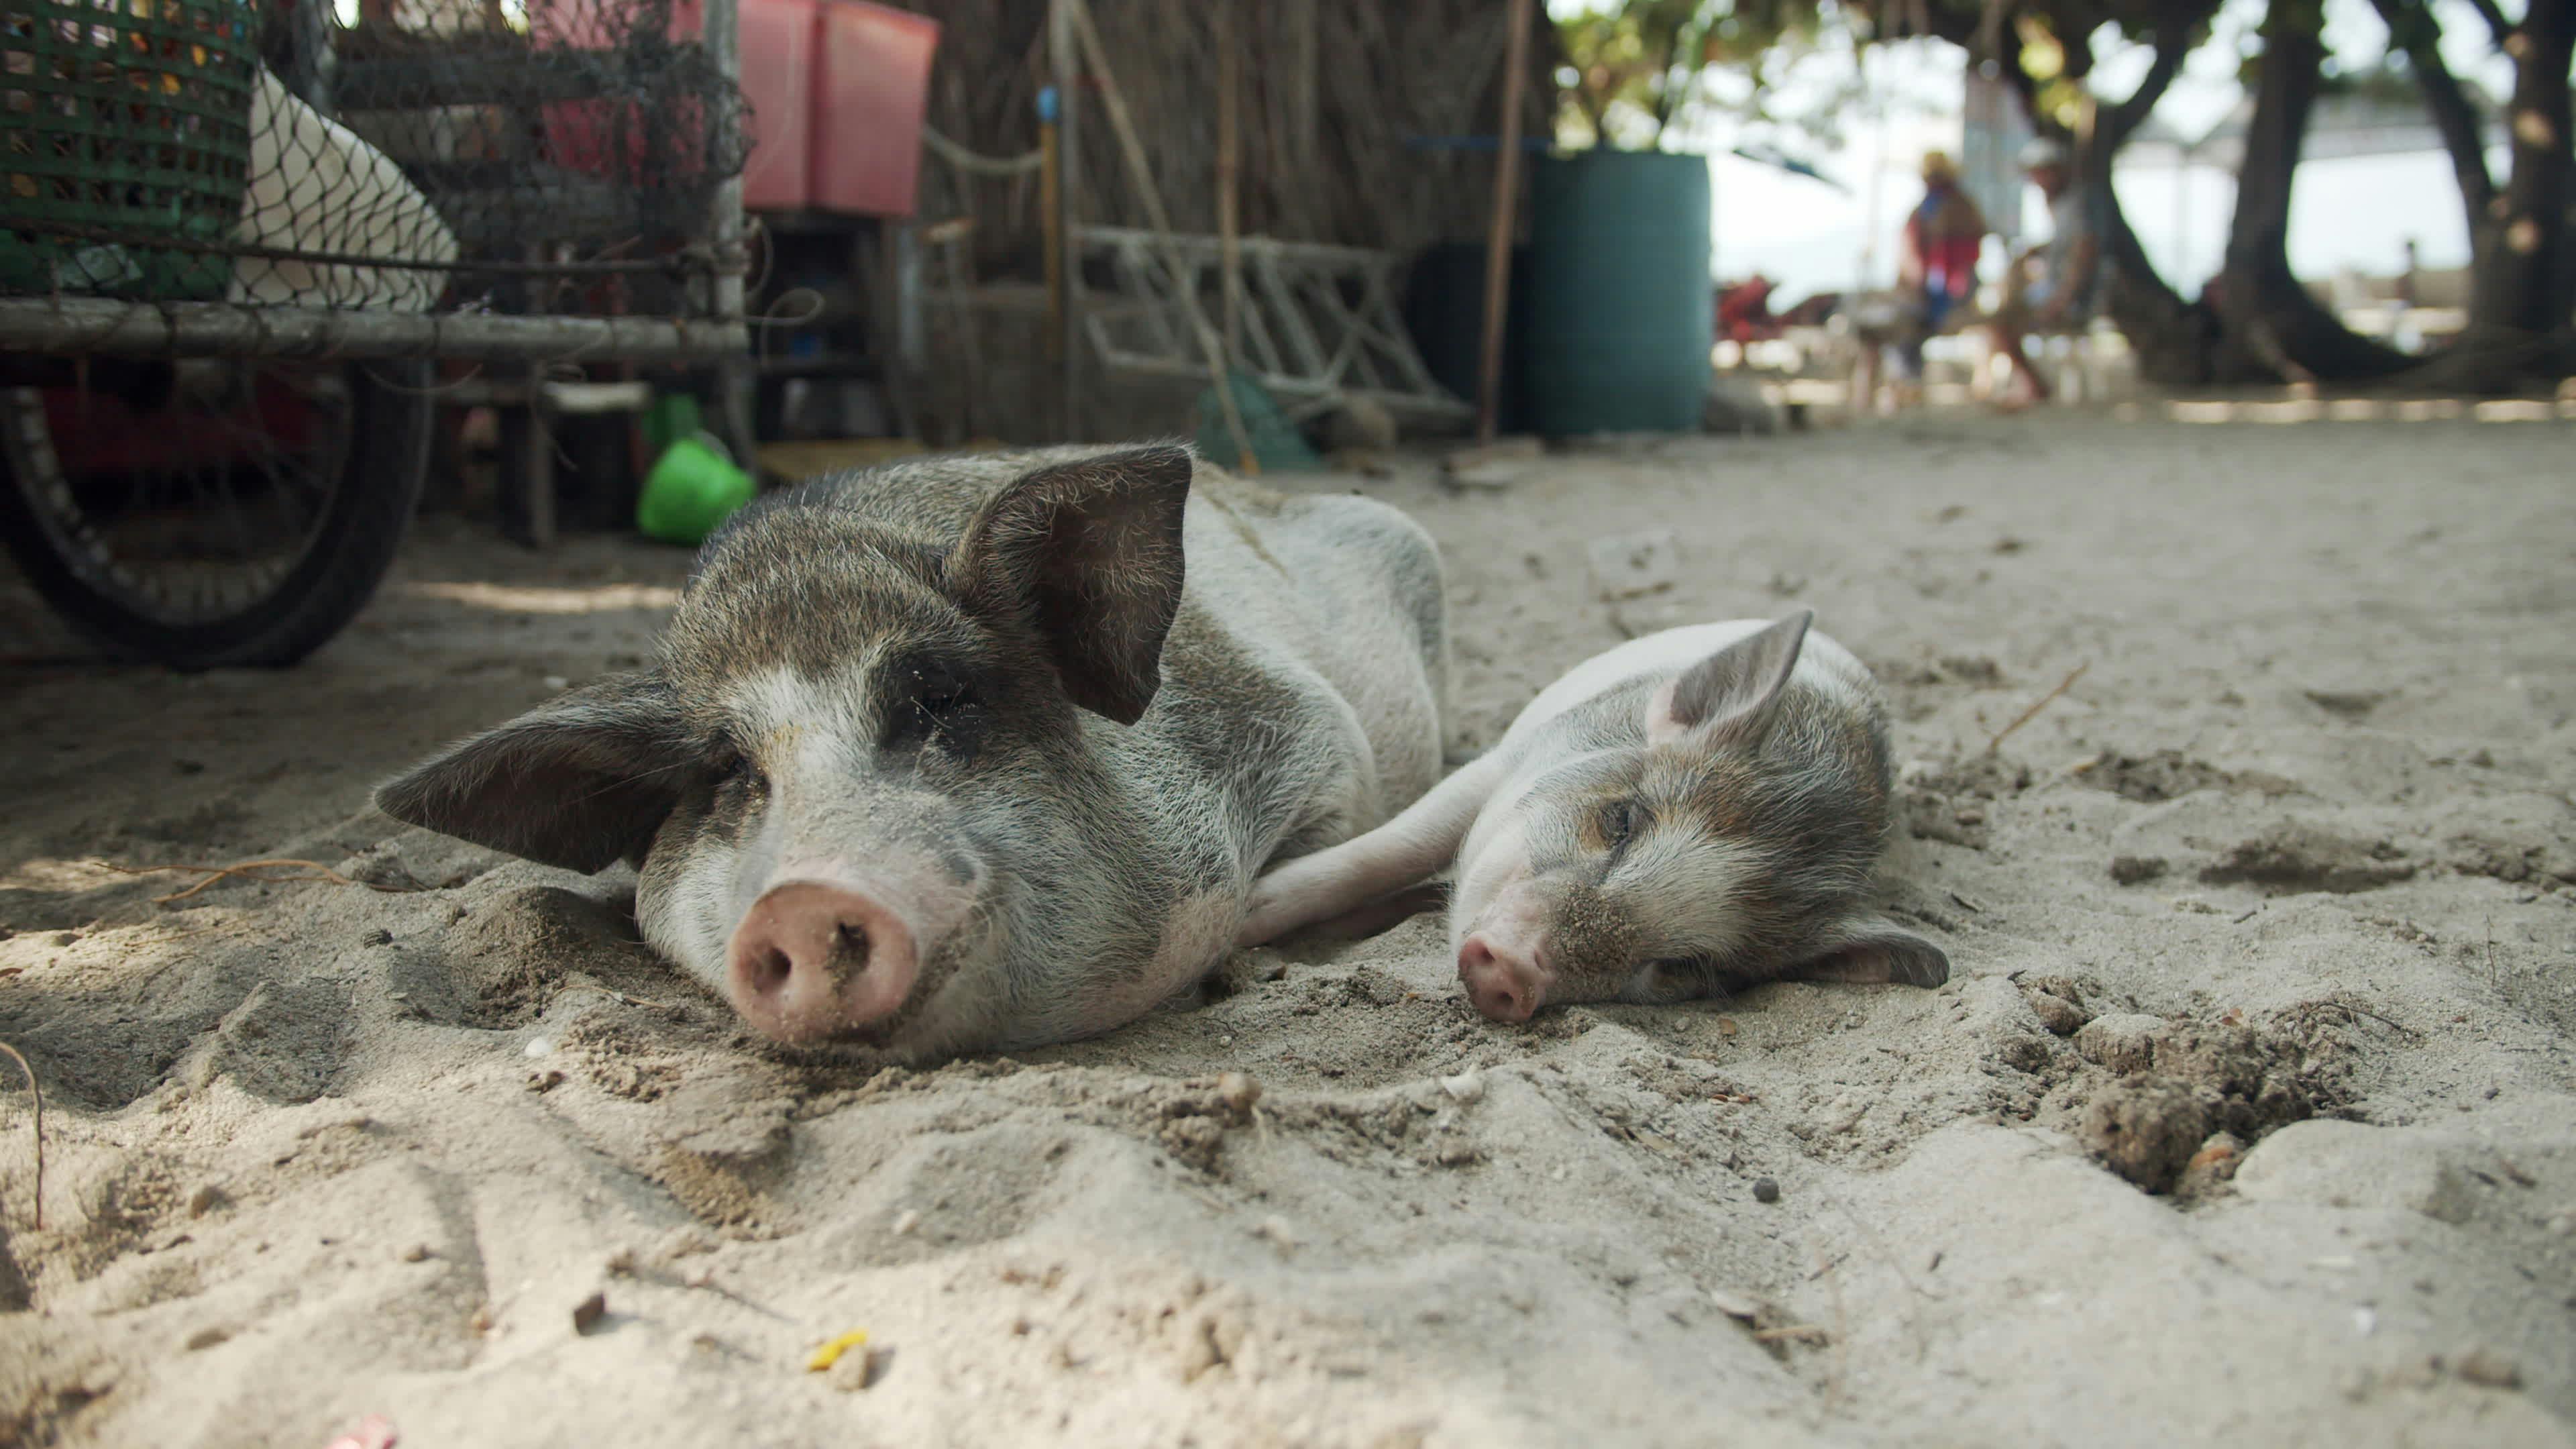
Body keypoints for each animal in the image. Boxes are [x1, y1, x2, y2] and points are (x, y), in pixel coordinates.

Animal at [1236, 610, 1949, 1021]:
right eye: (1623, 821)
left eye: (1686, 966)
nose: (1512, 970)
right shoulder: (1509, 759)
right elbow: (1394, 847)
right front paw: (1248, 919)